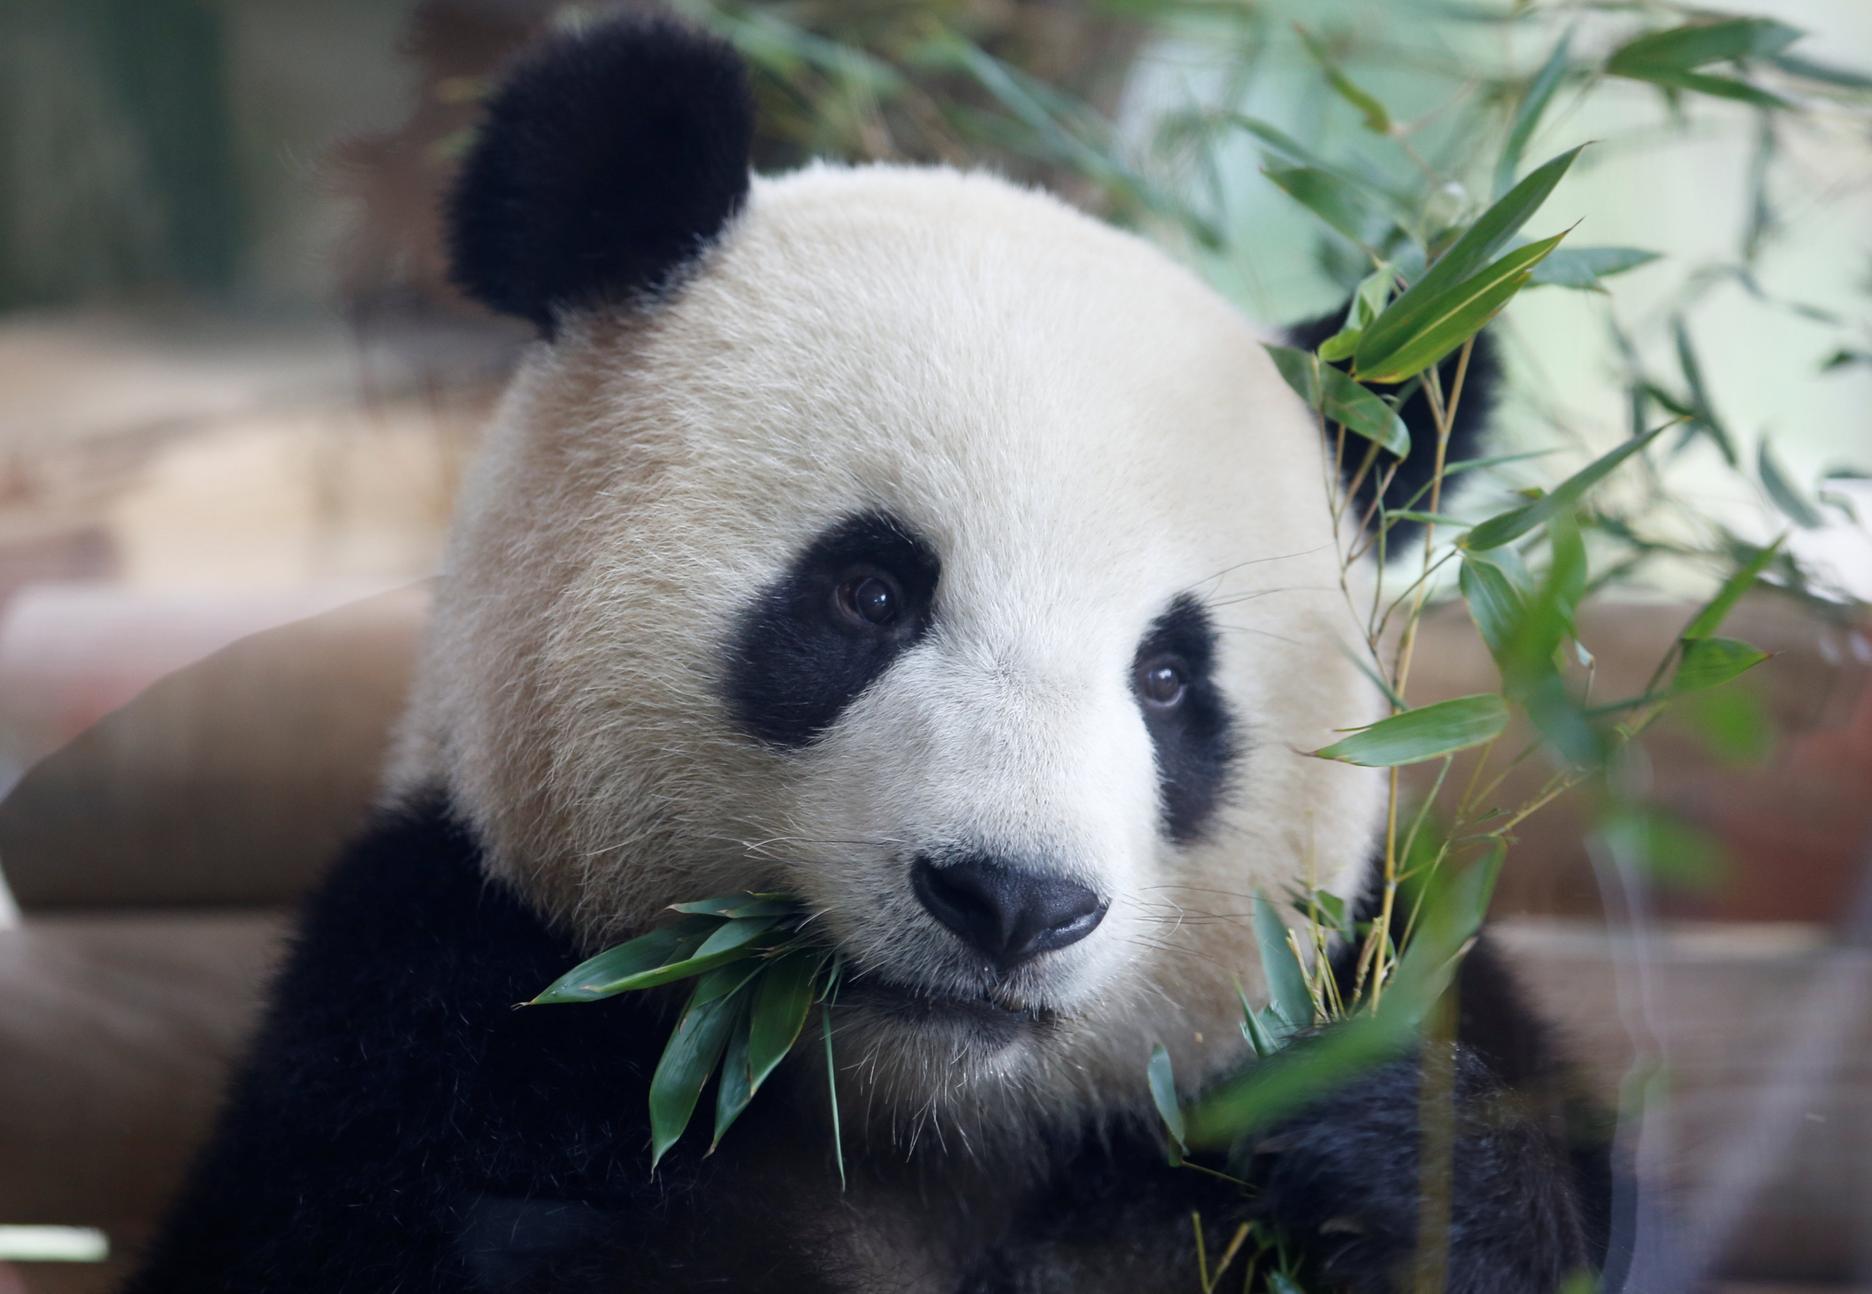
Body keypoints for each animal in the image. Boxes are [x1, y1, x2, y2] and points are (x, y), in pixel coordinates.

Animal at [127, 16, 1616, 1294]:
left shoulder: (1374, 971)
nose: (1013, 899)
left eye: (1171, 679)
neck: (926, 1120)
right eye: (870, 593)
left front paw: (1377, 1158)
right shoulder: (434, 1012)